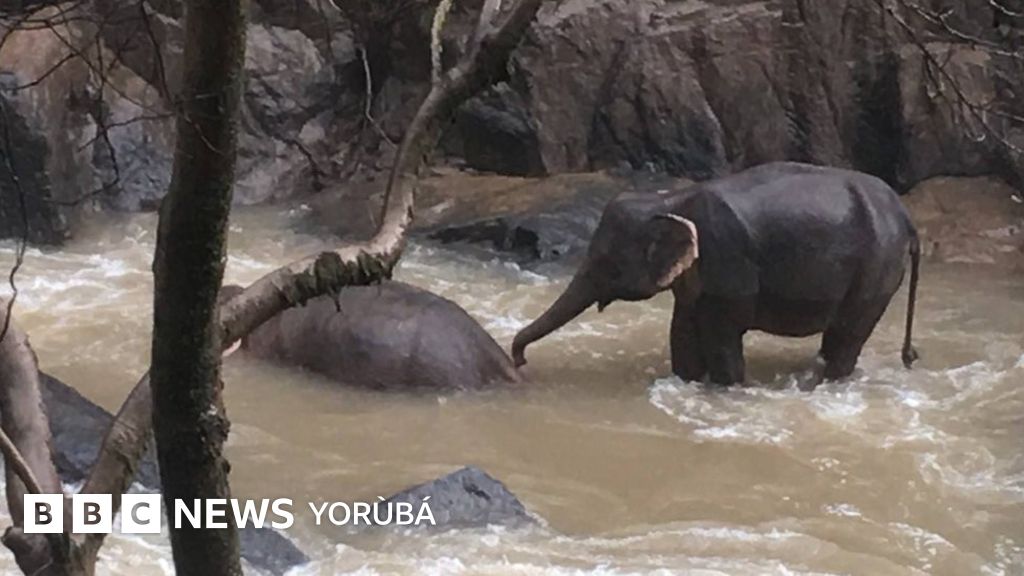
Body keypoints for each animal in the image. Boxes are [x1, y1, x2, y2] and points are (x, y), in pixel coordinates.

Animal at [511, 162, 920, 389]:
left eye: (607, 262)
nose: (520, 361)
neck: (669, 200)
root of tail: (906, 216)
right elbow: (682, 331)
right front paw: (687, 380)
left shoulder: (728, 261)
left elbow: (722, 337)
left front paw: (728, 388)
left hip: (877, 269)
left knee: (846, 336)